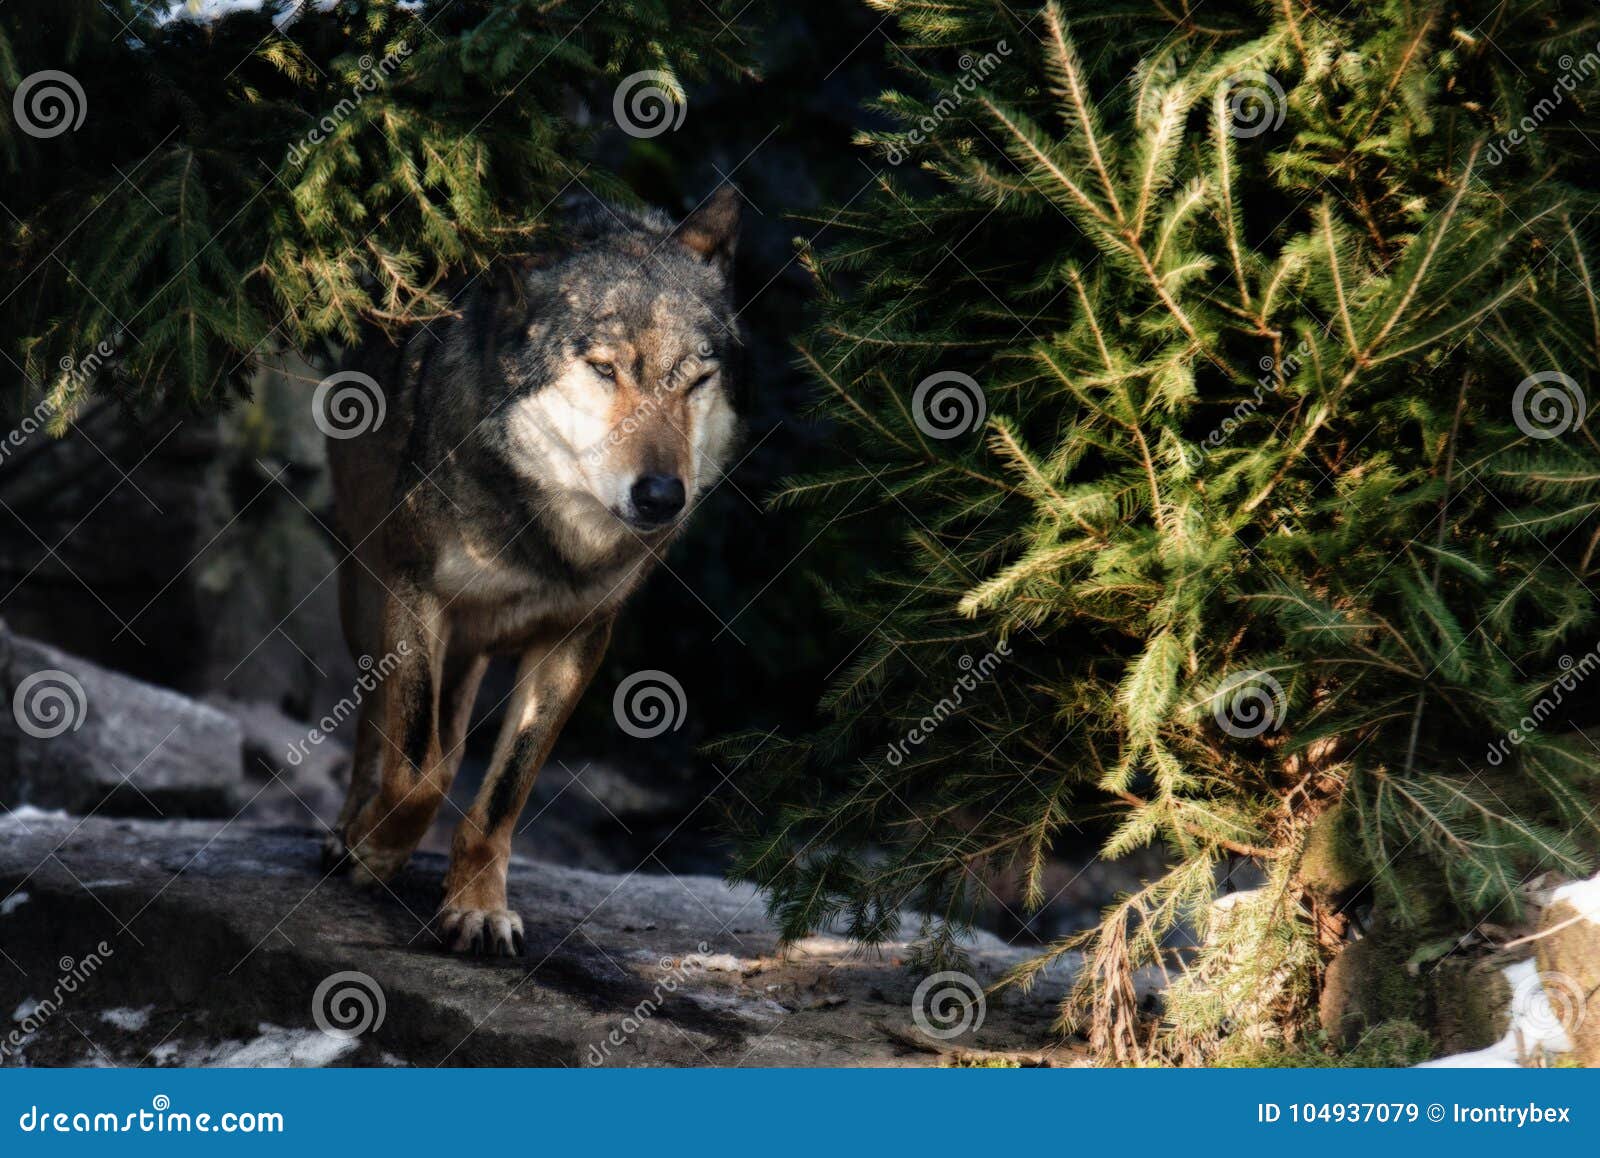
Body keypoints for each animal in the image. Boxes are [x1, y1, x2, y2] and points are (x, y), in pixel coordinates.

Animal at [323, 188, 742, 955]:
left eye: (697, 382)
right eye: (605, 370)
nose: (662, 497)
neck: (545, 539)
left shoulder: (577, 639)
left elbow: (501, 794)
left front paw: (476, 907)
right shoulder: (417, 593)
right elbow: (414, 770)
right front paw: (377, 850)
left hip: (466, 646)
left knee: (450, 744)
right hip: (368, 598)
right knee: (382, 731)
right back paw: (347, 831)